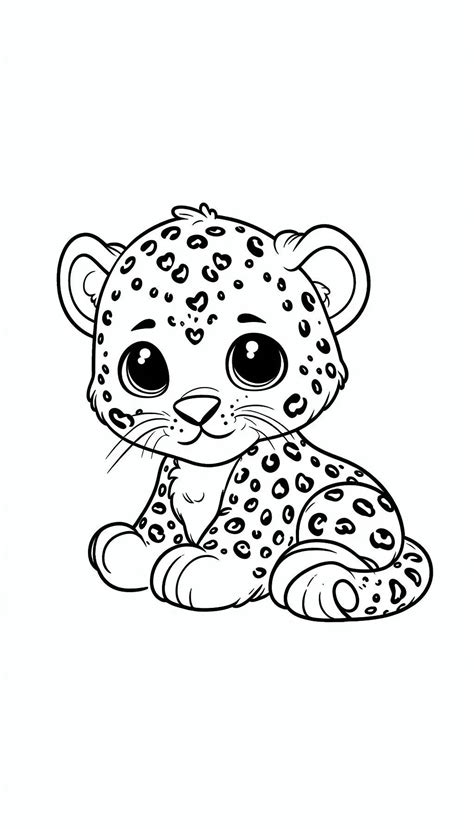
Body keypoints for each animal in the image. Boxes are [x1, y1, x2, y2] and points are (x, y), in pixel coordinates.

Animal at [57, 202, 432, 621]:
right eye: (144, 364)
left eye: (256, 358)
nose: (197, 409)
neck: (205, 474)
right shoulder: (166, 485)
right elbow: (159, 521)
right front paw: (136, 546)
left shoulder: (268, 492)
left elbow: (241, 533)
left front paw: (202, 567)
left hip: (349, 498)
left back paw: (307, 572)